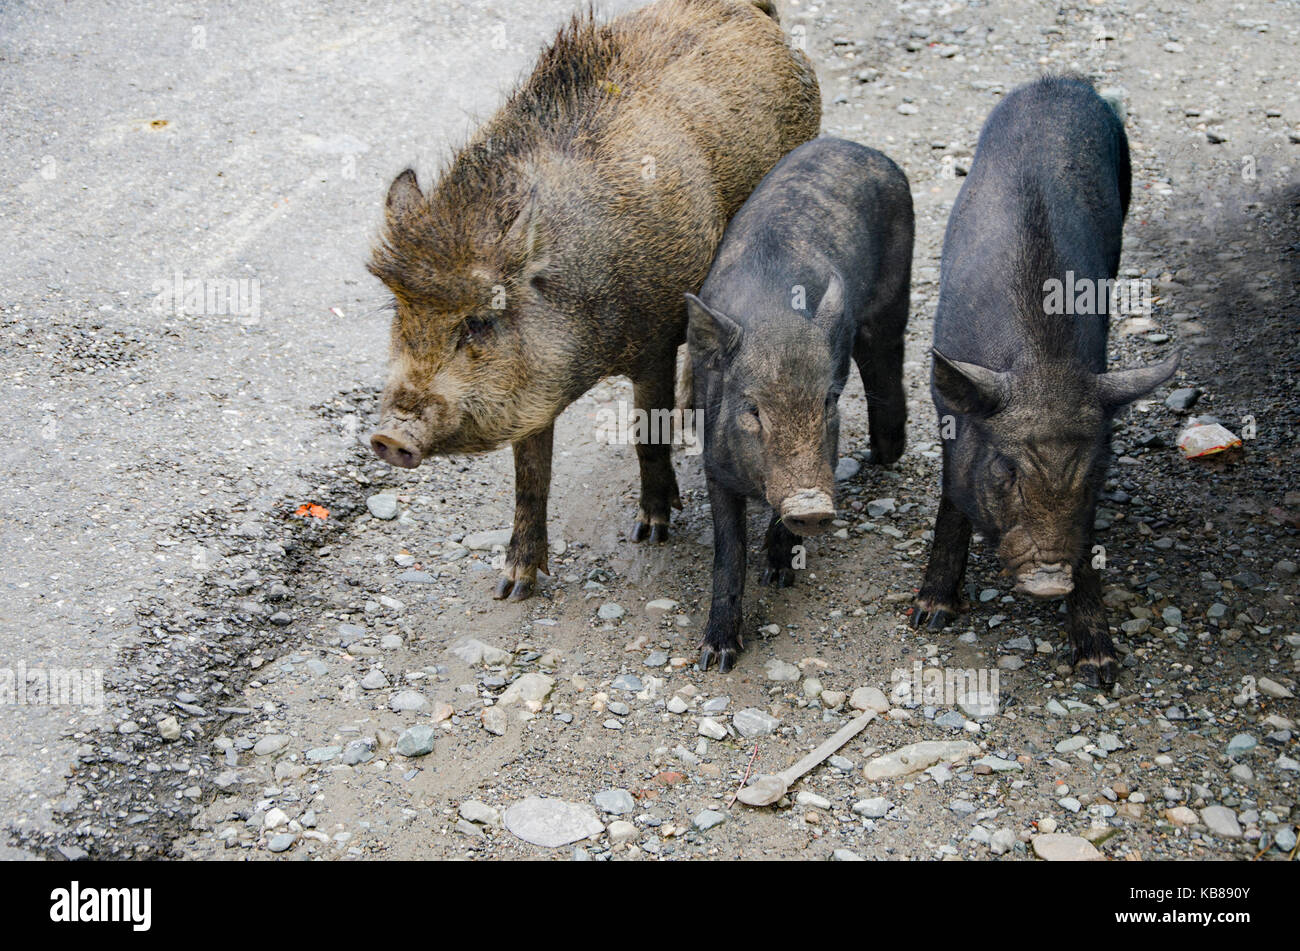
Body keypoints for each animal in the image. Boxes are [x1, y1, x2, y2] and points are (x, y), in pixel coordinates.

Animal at [367, 0, 820, 601]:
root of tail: (754, 14)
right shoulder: (531, 394)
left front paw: (652, 531)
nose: (388, 435)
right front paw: (513, 587)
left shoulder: (654, 341)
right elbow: (530, 477)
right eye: (401, 312)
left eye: (481, 321)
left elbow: (647, 435)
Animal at [686, 137, 913, 671]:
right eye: (752, 409)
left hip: (895, 292)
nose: (811, 505)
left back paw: (882, 455)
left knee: (885, 355)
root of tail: (863, 148)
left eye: (828, 402)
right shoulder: (714, 463)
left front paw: (778, 573)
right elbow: (728, 554)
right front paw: (716, 658)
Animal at [913, 75, 1180, 687]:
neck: (1043, 367)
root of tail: (1058, 82)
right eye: (1006, 472)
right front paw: (928, 616)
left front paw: (1100, 669)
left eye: (1095, 472)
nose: (1049, 580)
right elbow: (951, 499)